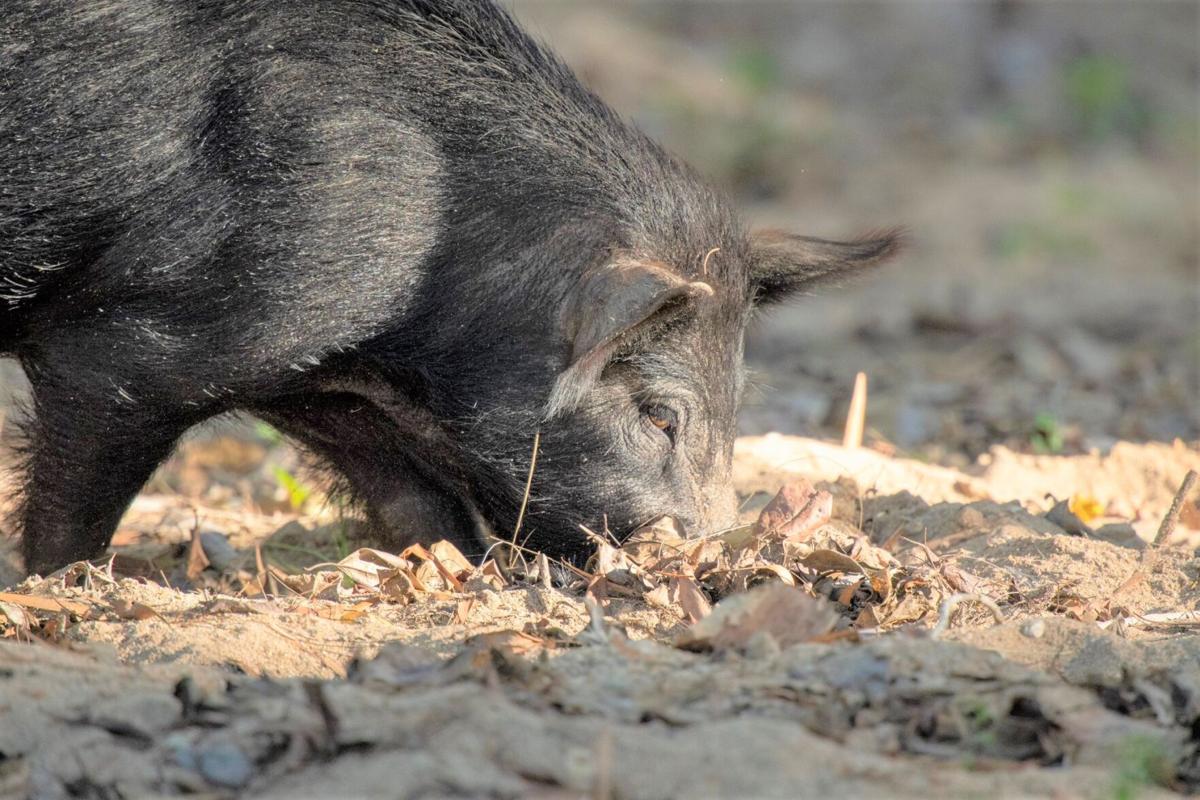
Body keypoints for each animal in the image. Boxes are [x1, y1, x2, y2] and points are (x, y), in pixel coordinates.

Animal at [0, 0, 900, 575]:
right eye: (658, 413)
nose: (715, 554)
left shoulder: (324, 388)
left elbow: (419, 506)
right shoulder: (123, 352)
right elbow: (70, 518)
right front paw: (54, 588)